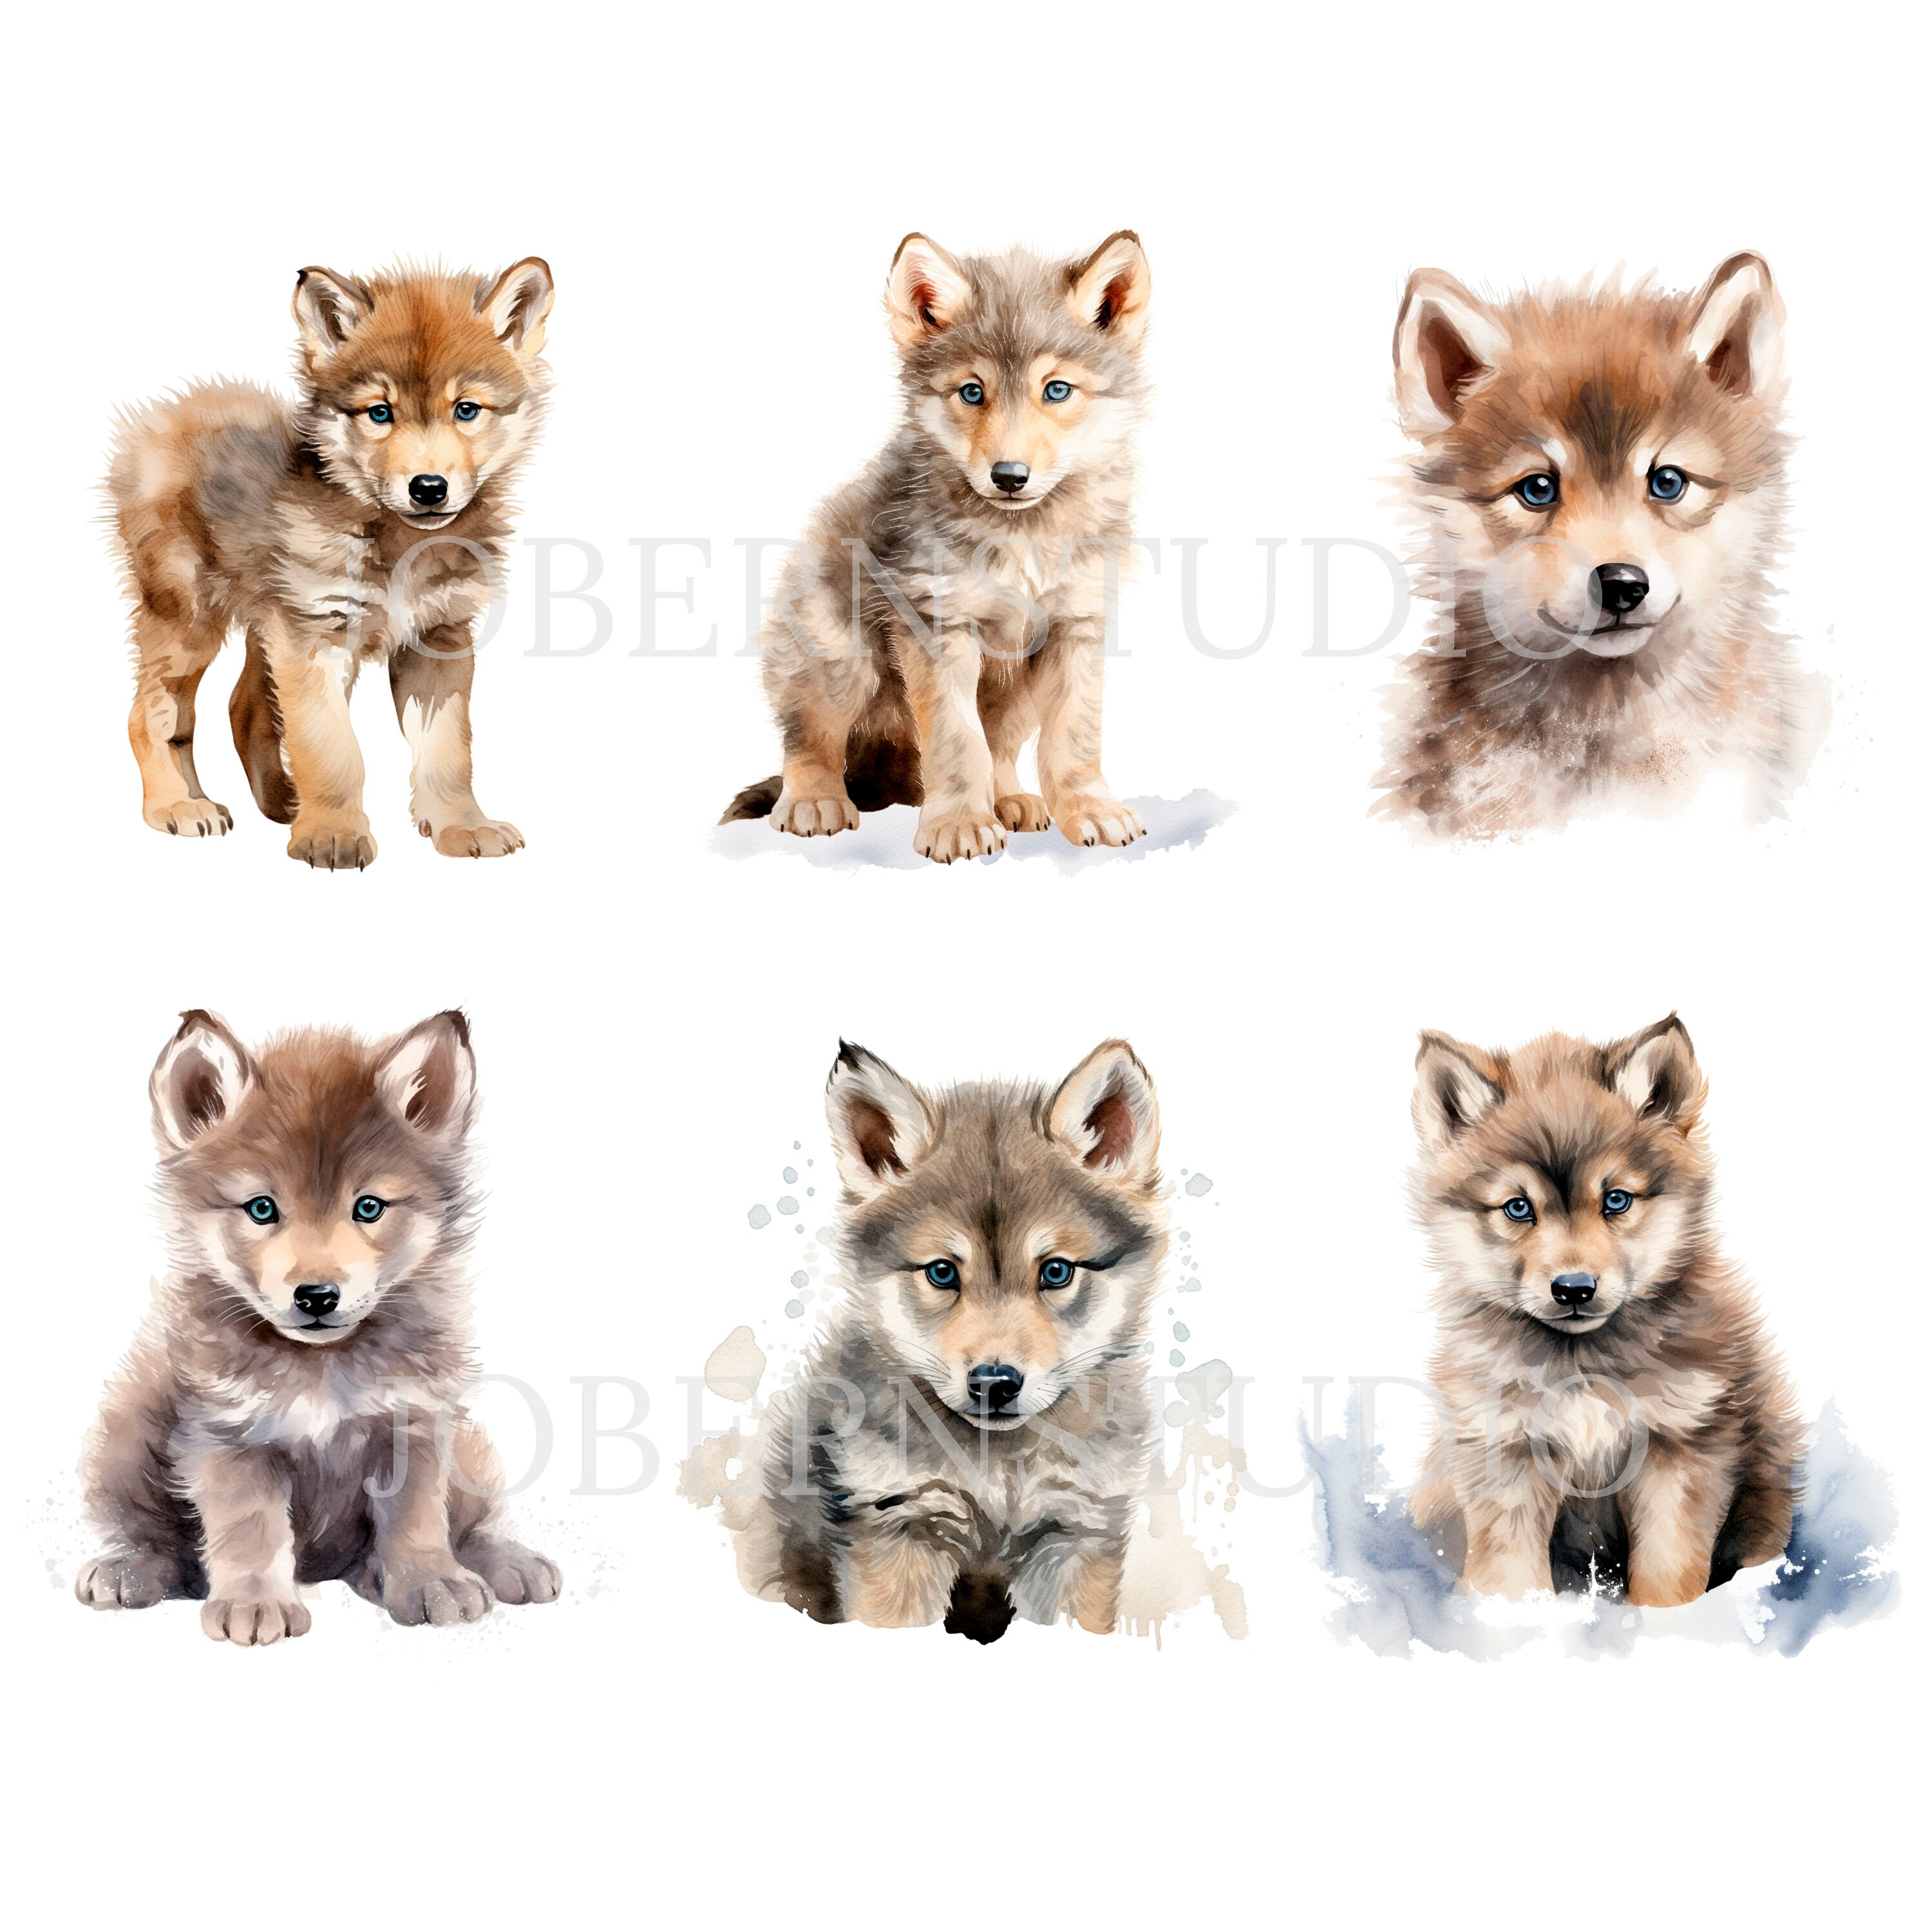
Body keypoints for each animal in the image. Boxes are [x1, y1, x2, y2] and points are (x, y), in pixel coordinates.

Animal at [76, 1009, 559, 1644]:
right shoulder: (226, 1435)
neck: (323, 1367)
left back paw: (500, 1563)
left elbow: (418, 1518)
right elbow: (250, 1530)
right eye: (261, 1208)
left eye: (369, 1207)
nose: (317, 1296)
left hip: (468, 1449)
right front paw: (254, 1602)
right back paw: (129, 1568)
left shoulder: (414, 1423)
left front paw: (430, 1580)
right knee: (158, 1539)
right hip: (127, 1428)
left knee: (467, 1526)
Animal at [109, 259, 554, 868]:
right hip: (189, 621)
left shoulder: (437, 640)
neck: (398, 547)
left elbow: (448, 754)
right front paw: (333, 836)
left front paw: (460, 827)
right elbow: (333, 750)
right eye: (379, 413)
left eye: (467, 410)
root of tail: (169, 413)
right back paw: (179, 806)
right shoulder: (316, 639)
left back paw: (282, 803)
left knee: (244, 707)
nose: (429, 488)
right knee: (151, 712)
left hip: (266, 625)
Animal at [720, 232, 1152, 863]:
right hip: (840, 659)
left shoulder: (1076, 627)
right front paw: (958, 825)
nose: (1009, 477)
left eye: (1056, 390)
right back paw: (814, 802)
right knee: (810, 742)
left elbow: (1074, 737)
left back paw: (1010, 800)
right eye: (972, 392)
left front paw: (1089, 809)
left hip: (1019, 688)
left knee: (1000, 750)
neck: (1020, 535)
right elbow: (956, 741)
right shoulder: (935, 626)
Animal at [758, 1040, 1167, 1640]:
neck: (999, 1471)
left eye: (1056, 1272)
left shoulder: (1075, 1532)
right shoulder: (898, 1526)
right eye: (943, 1272)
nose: (994, 1384)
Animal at [1406, 1015, 1801, 1606]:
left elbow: (1667, 1574)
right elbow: (1513, 1579)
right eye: (1518, 1208)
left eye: (1616, 1200)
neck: (1583, 1366)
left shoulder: (1680, 1452)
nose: (1573, 1289)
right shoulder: (1505, 1453)